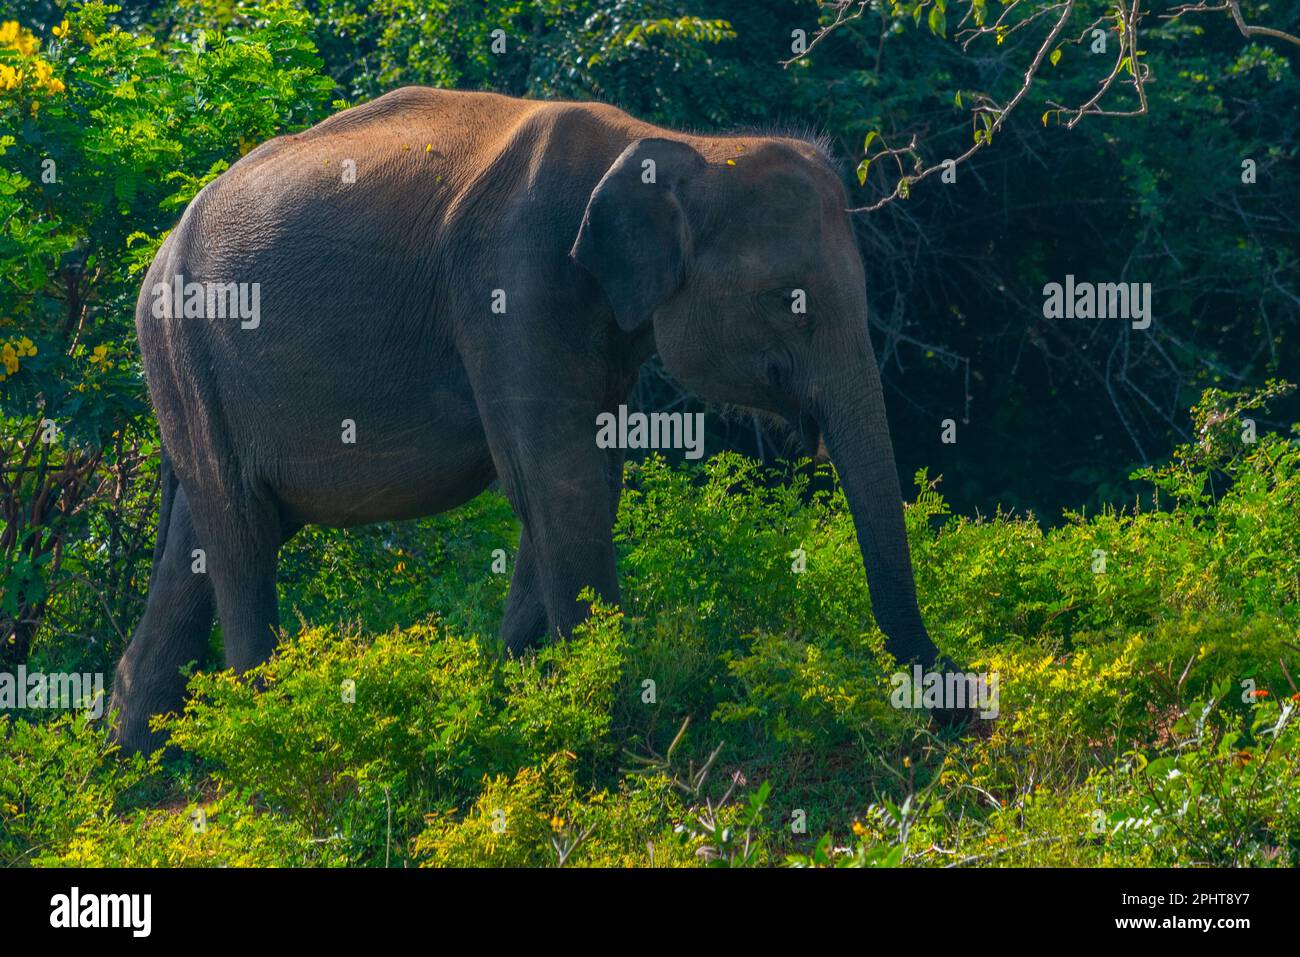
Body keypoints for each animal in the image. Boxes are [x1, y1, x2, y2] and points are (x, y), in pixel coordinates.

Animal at [109, 86, 947, 754]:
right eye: (788, 300)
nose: (948, 699)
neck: (672, 144)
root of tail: (159, 254)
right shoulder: (511, 277)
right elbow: (558, 476)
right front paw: (611, 720)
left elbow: (584, 477)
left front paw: (512, 693)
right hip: (183, 347)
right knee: (241, 533)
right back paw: (264, 739)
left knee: (200, 541)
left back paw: (141, 767)